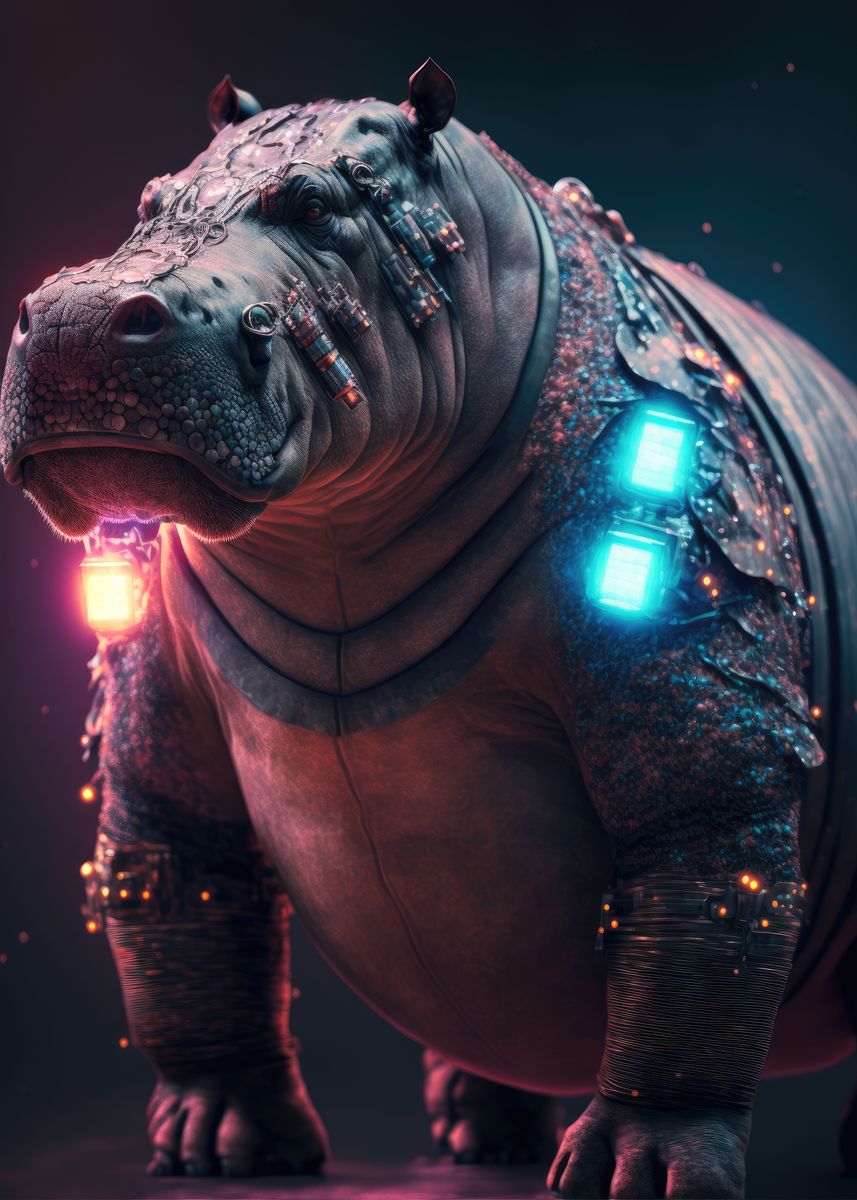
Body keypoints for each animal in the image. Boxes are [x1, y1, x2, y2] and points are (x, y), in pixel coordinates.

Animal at [3, 58, 857, 1199]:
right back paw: (479, 1142)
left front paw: (638, 1173)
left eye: (317, 210)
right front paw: (216, 1152)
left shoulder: (680, 583)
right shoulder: (156, 635)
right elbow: (174, 868)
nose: (79, 316)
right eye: (147, 202)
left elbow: (709, 875)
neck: (334, 532)